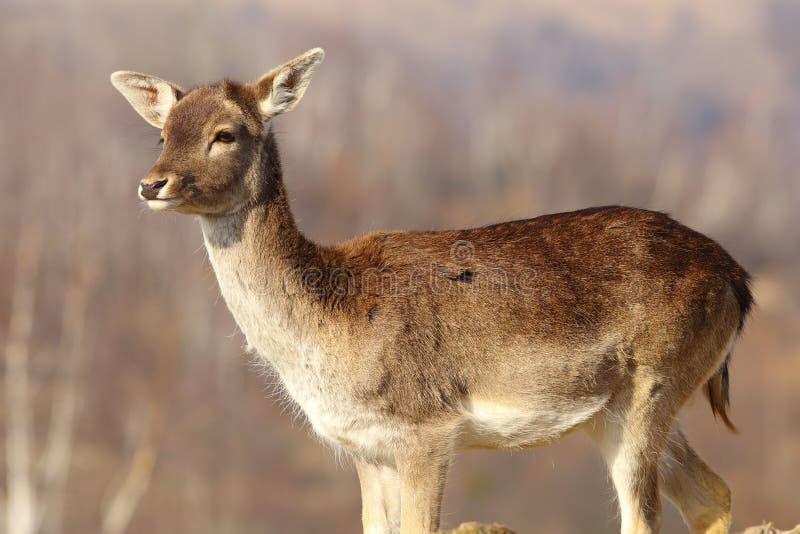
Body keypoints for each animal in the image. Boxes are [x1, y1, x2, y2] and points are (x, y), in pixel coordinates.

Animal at [111, 48, 752, 534]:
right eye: (162, 133)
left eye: (225, 133)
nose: (152, 184)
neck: (327, 332)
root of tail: (737, 280)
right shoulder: (366, 447)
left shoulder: (426, 428)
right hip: (620, 410)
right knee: (712, 493)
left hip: (652, 385)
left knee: (646, 515)